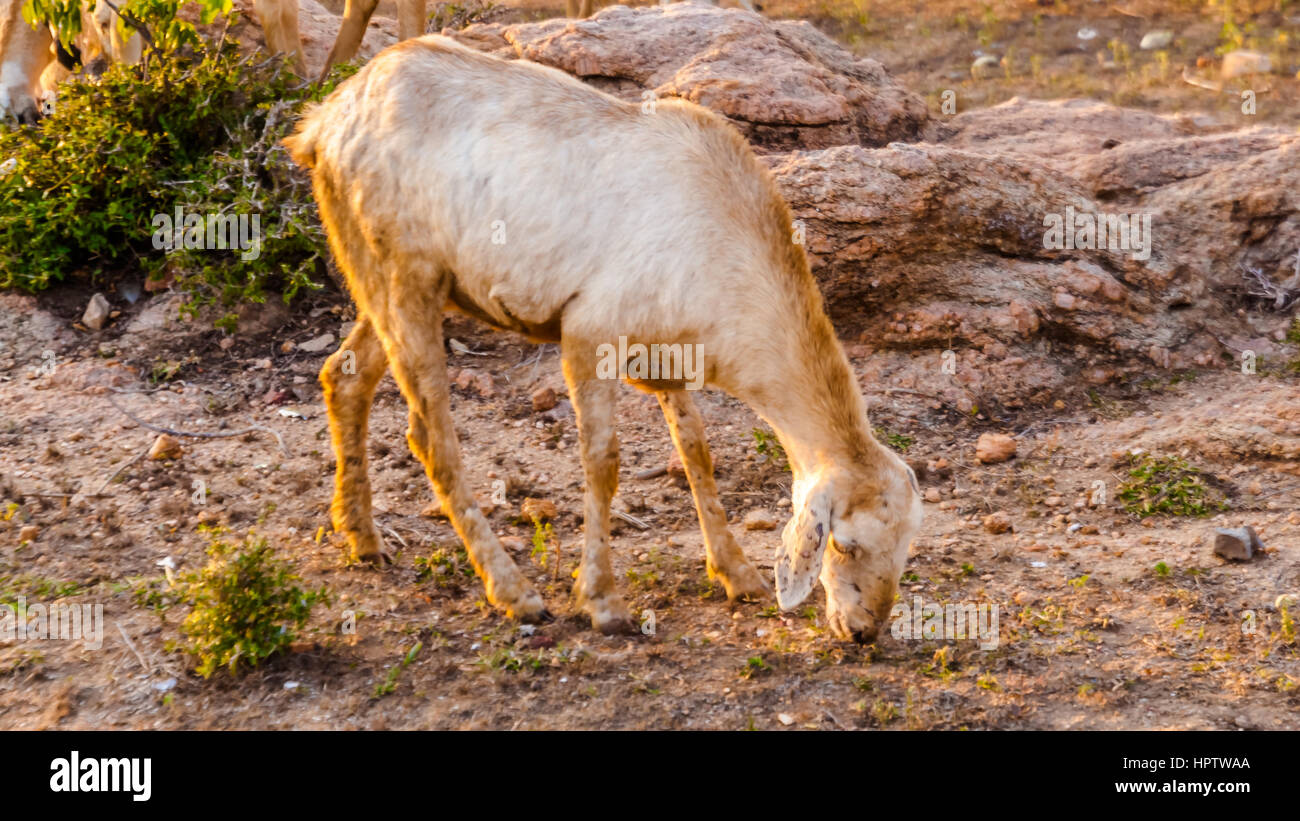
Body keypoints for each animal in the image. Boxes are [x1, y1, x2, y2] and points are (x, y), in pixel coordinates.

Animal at [284, 35, 923, 642]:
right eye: (844, 543)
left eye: (906, 548)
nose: (864, 632)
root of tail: (322, 122)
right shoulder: (589, 331)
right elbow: (603, 464)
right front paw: (603, 602)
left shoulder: (667, 355)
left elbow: (696, 451)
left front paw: (738, 575)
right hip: (403, 269)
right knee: (429, 435)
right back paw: (513, 592)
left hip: (384, 273)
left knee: (343, 377)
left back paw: (362, 538)